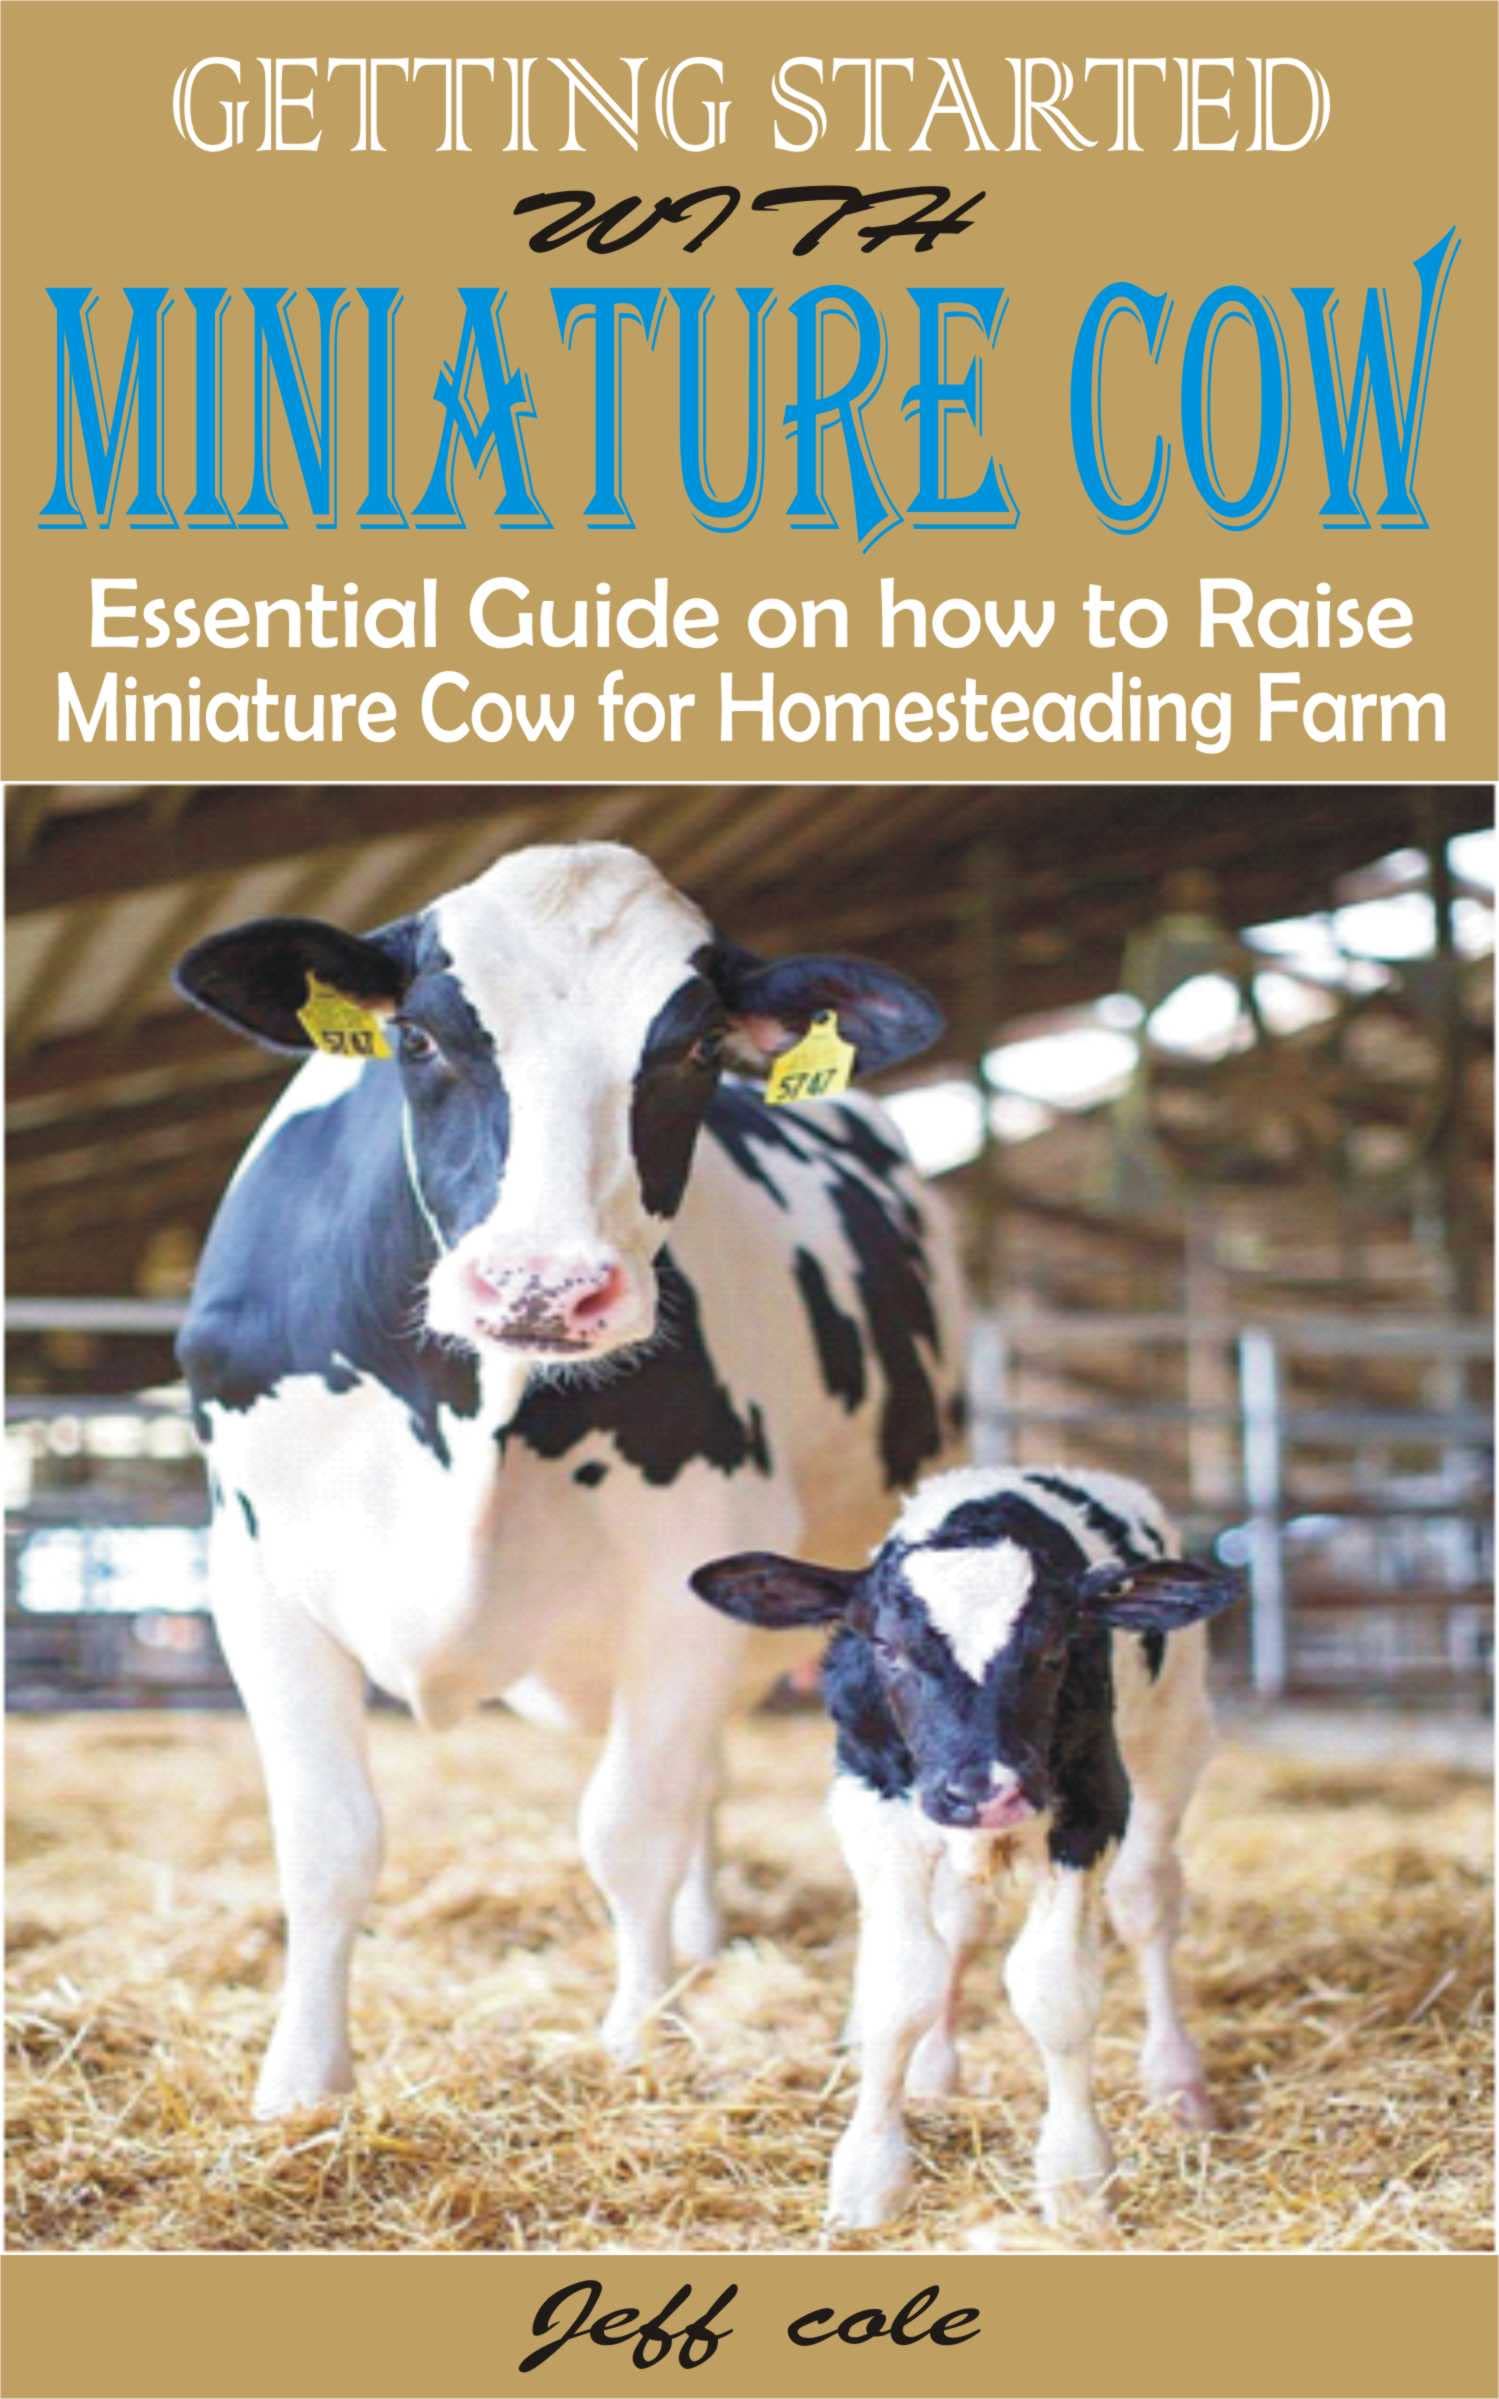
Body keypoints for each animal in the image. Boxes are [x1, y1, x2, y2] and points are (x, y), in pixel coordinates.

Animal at [172, 840, 965, 2119]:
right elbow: (328, 1838)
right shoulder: (256, 1574)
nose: (541, 1285)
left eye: (697, 1047)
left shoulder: (690, 1580)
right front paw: (302, 2082)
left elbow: (629, 1826)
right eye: (420, 1035)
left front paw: (642, 2036)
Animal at [690, 1463, 1241, 2231]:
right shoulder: (870, 1805)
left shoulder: (1092, 1805)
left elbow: (1054, 1990)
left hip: (1173, 1739)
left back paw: (1177, 2080)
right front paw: (869, 2175)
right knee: (959, 1927)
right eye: (887, 1648)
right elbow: (898, 1986)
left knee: (1146, 1904)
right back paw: (931, 2074)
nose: (985, 1790)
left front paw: (1077, 2177)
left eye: (1053, 1650)